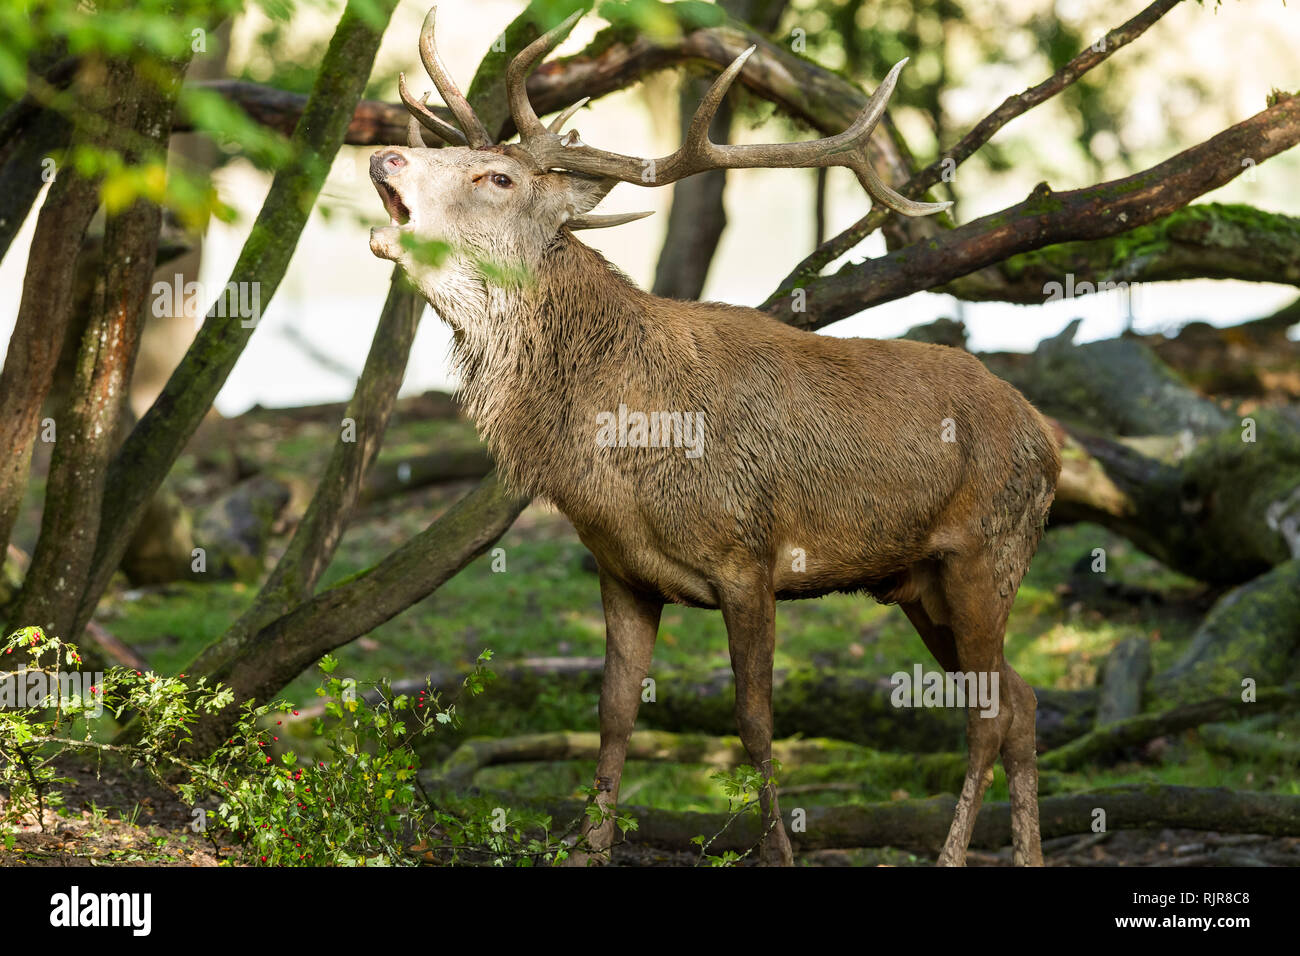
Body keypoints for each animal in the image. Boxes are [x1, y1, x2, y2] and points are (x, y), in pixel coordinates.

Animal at [368, 6, 1061, 867]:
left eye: (496, 178)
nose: (385, 154)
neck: (621, 451)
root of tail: (1049, 440)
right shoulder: (621, 571)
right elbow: (614, 716)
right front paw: (590, 848)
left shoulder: (749, 556)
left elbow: (755, 725)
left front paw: (779, 851)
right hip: (919, 581)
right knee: (1023, 700)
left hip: (987, 551)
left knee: (990, 714)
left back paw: (952, 853)